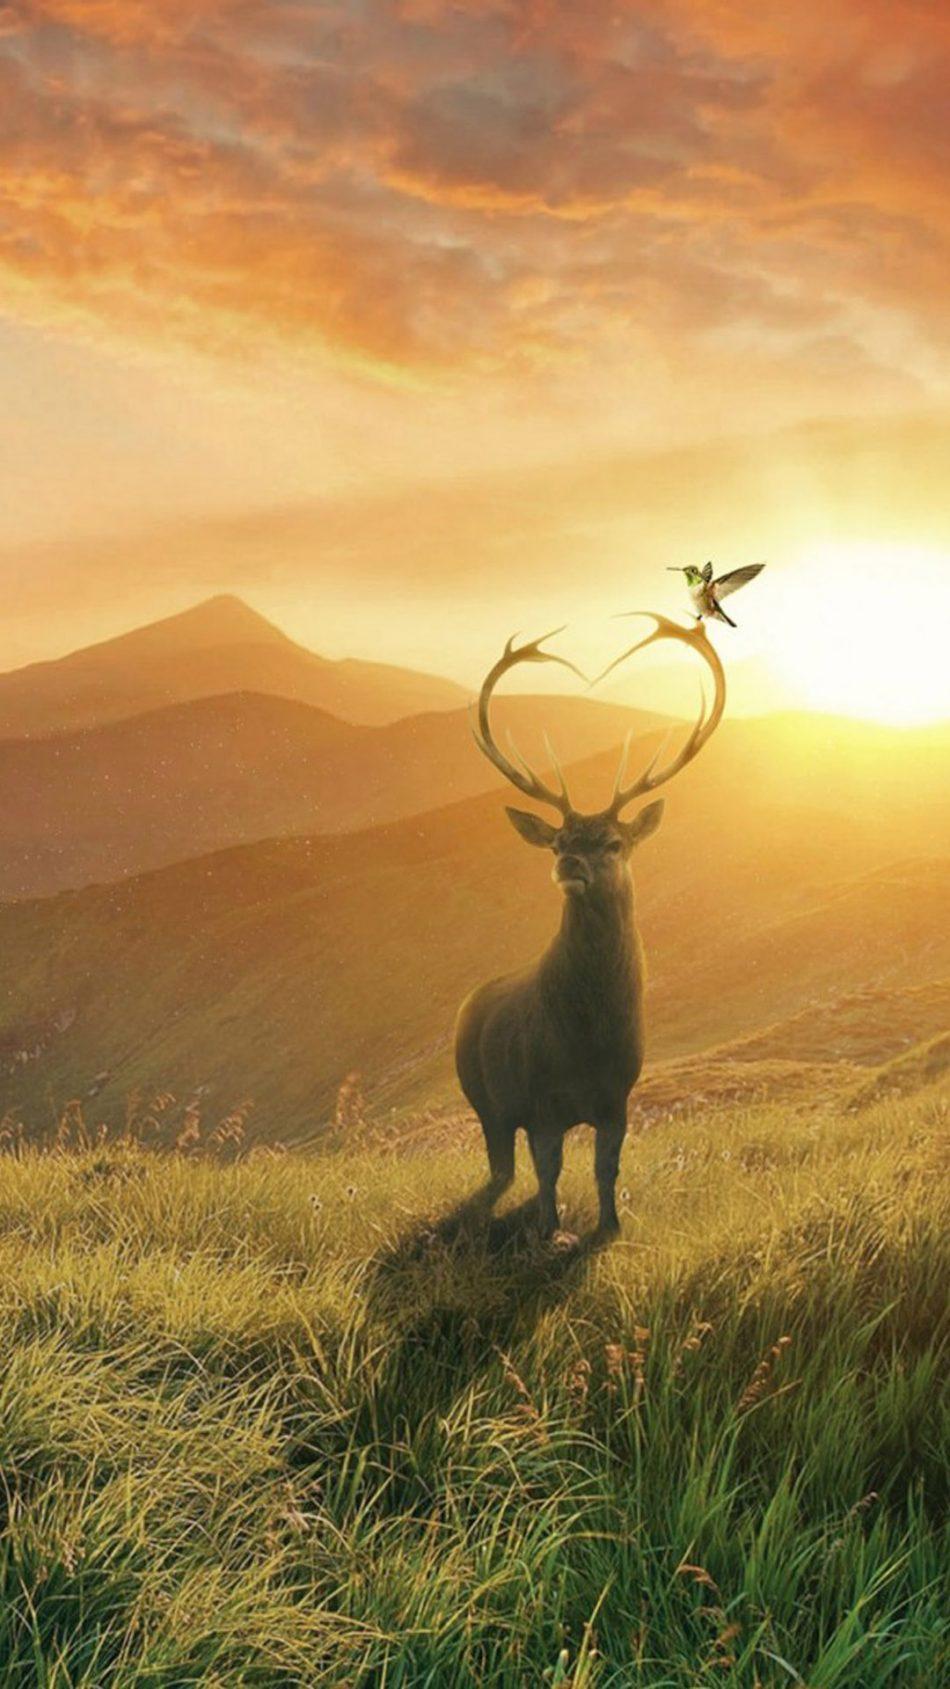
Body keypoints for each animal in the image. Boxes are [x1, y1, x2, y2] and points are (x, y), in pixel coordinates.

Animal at [454, 614, 725, 1244]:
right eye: (557, 842)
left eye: (614, 842)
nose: (569, 864)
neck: (585, 1040)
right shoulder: (540, 1102)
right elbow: (549, 1170)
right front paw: (549, 1231)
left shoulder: (618, 1098)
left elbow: (607, 1168)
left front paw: (610, 1226)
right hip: (483, 1097)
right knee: (501, 1167)